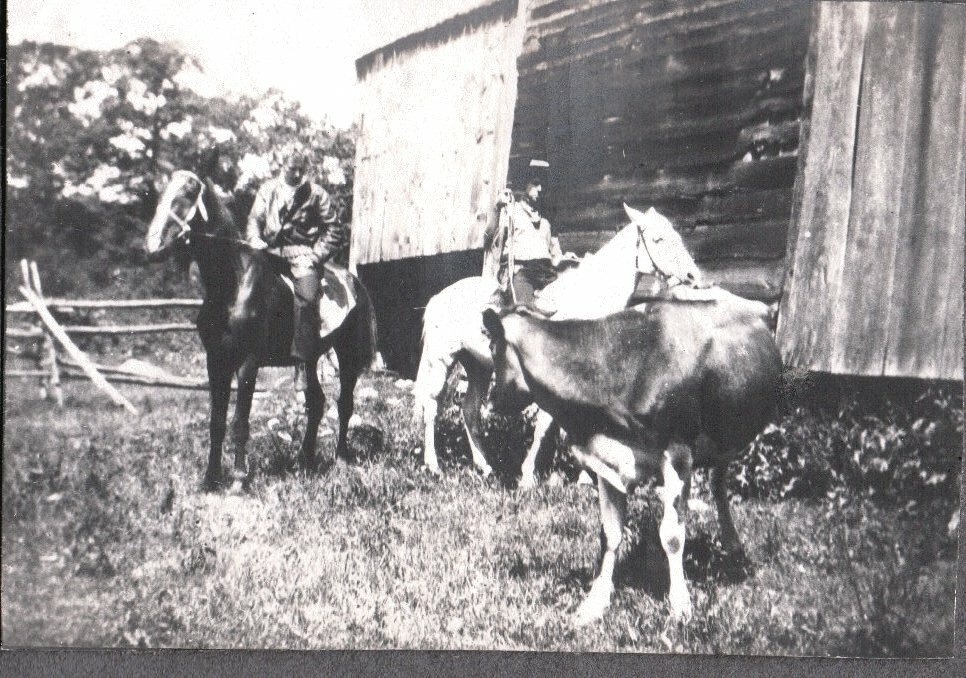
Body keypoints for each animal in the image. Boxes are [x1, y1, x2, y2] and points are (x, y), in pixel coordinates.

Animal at [145, 169, 378, 489]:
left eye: (185, 198)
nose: (152, 247)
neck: (233, 283)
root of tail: (355, 283)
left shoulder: (248, 362)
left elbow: (240, 422)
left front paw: (238, 479)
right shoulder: (215, 361)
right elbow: (216, 422)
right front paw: (211, 479)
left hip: (348, 356)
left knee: (344, 403)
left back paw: (341, 456)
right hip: (309, 359)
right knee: (316, 403)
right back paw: (305, 460)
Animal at [414, 204, 698, 484]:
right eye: (658, 239)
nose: (693, 276)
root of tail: (438, 297)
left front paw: (584, 477)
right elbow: (545, 425)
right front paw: (528, 476)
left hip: (478, 367)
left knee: (469, 410)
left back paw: (485, 466)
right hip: (441, 361)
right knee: (431, 407)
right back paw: (433, 465)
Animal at [482, 301, 782, 623]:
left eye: (492, 347)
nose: (491, 400)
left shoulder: (678, 453)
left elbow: (672, 536)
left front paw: (680, 604)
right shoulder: (605, 458)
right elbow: (611, 534)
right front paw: (595, 602)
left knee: (717, 481)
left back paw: (732, 547)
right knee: (718, 482)